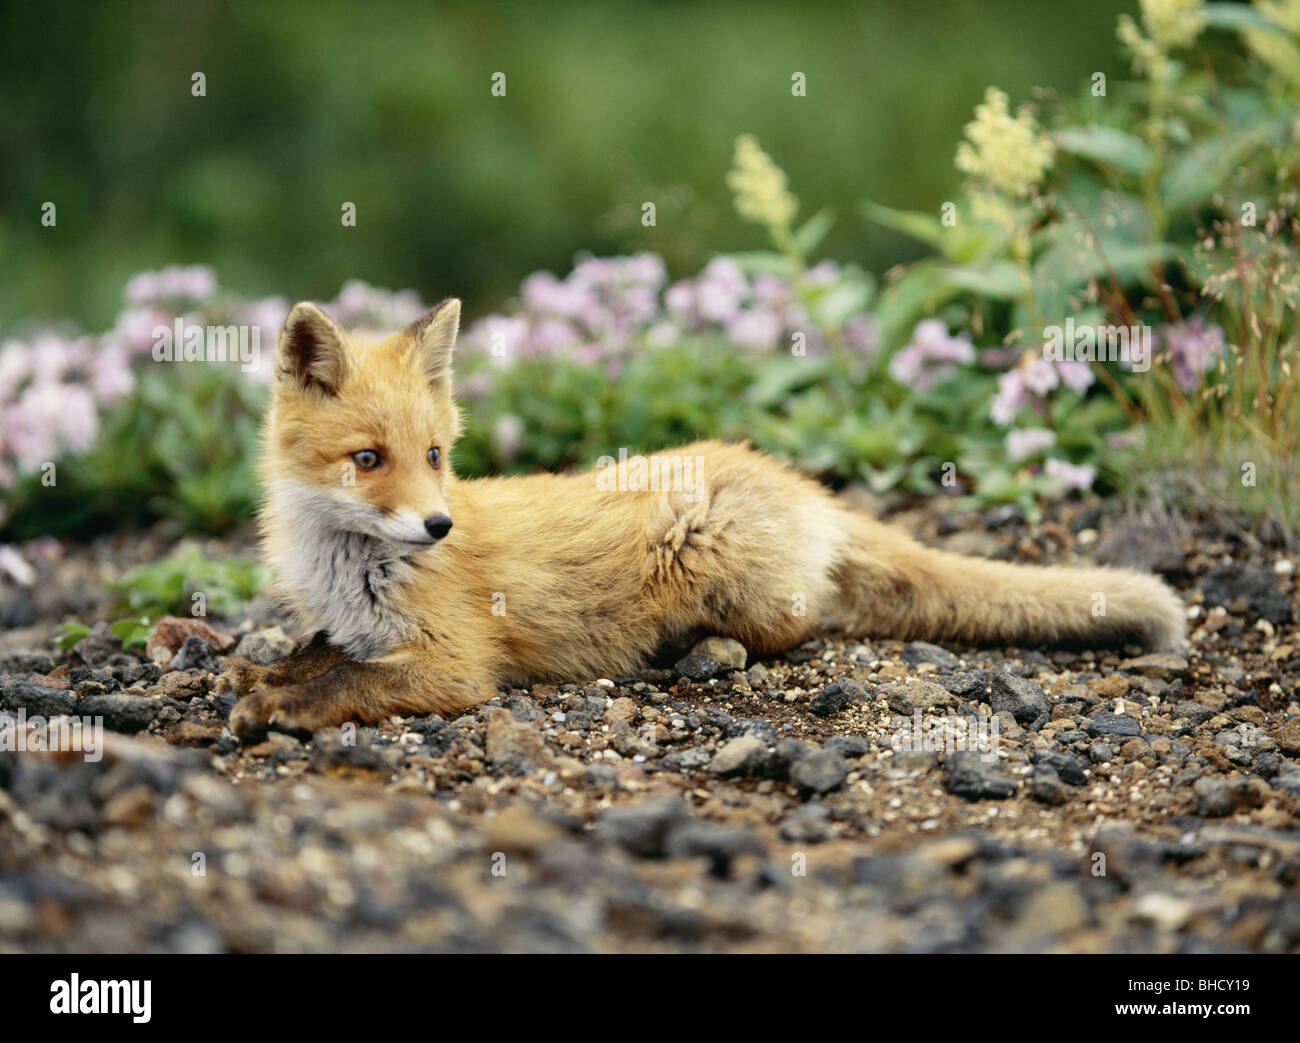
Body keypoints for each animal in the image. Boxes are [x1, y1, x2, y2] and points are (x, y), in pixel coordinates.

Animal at [226, 298, 1187, 741]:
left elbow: (352, 683)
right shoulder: (351, 623)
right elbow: (321, 652)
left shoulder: (457, 664)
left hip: (711, 557)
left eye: (433, 455)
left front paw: (281, 705)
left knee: (804, 622)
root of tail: (794, 479)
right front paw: (267, 675)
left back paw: (695, 647)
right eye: (368, 459)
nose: (439, 528)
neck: (349, 569)